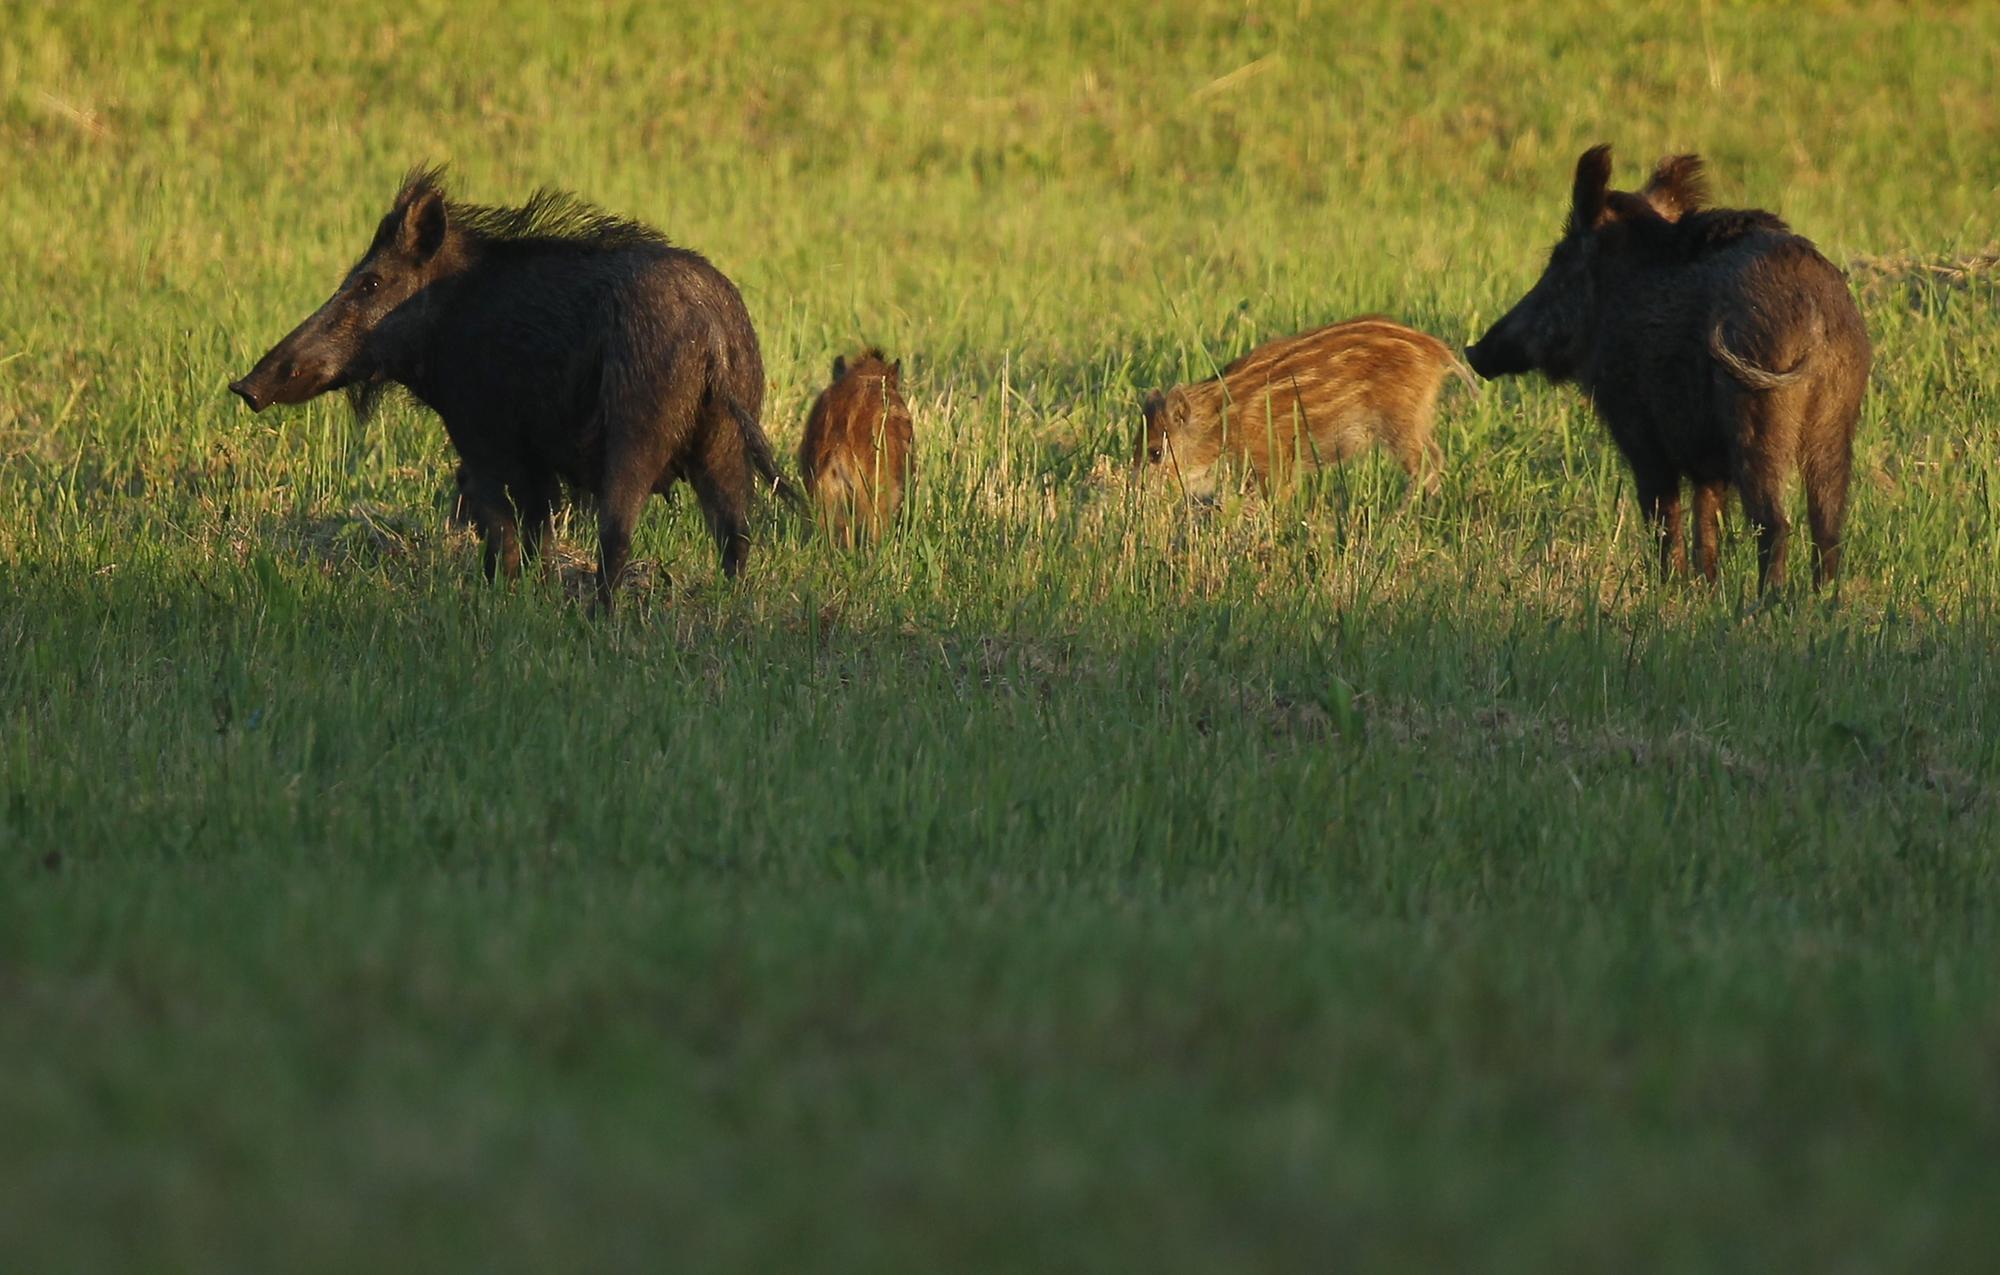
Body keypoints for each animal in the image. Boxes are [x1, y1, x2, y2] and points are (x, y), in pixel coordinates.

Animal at [229, 165, 790, 610]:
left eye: (371, 282)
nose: (245, 386)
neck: (448, 317)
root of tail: (710, 330)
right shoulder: (532, 456)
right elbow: (537, 529)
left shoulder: (484, 435)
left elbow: (503, 529)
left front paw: (500, 597)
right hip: (725, 440)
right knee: (735, 534)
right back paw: (730, 604)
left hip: (638, 427)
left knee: (619, 534)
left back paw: (598, 618)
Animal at [1137, 317, 1472, 500]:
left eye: (1156, 452)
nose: (1138, 497)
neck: (1219, 425)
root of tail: (1436, 350)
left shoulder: (1274, 463)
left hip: (1400, 421)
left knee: (1427, 461)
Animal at [1464, 145, 1871, 593]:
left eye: (1558, 261)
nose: (1474, 352)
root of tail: (1814, 312)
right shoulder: (1705, 460)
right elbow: (1706, 521)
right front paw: (1704, 589)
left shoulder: (1639, 430)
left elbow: (1662, 514)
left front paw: (1667, 589)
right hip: (1836, 415)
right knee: (1828, 525)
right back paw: (1823, 598)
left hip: (1758, 410)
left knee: (1774, 523)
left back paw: (1766, 601)